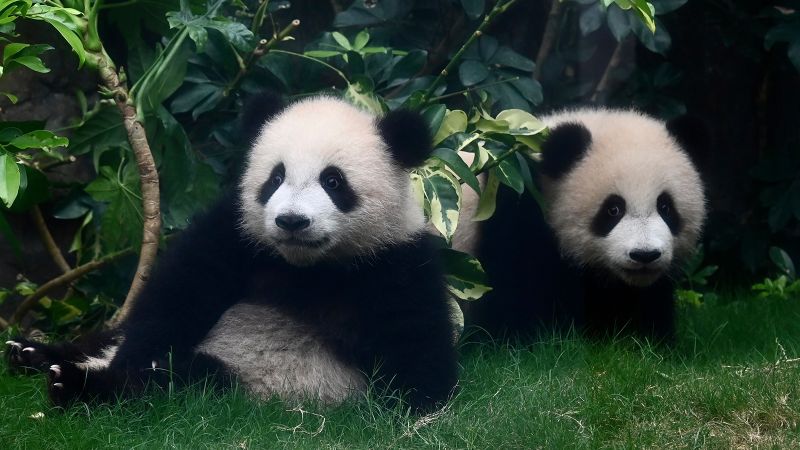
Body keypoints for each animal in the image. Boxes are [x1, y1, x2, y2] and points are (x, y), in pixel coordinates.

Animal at [5, 94, 459, 411]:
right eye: (275, 178)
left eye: (333, 181)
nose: (291, 221)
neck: (306, 267)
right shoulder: (237, 235)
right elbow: (176, 297)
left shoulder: (395, 263)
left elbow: (420, 363)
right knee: (112, 338)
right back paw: (34, 353)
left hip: (246, 376)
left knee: (181, 383)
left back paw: (77, 384)